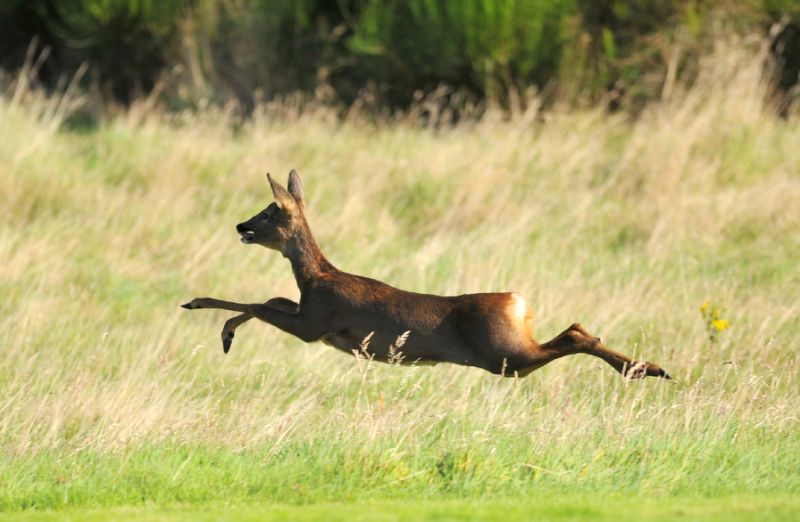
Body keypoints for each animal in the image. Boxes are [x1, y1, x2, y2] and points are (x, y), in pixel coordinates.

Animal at [182, 170, 671, 380]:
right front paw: (225, 332)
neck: (316, 277)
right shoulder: (308, 313)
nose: (240, 226)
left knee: (573, 336)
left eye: (268, 211)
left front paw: (204, 310)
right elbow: (269, 300)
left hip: (504, 355)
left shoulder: (315, 323)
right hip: (510, 352)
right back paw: (649, 369)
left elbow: (258, 302)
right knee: (578, 327)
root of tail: (518, 301)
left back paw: (647, 370)